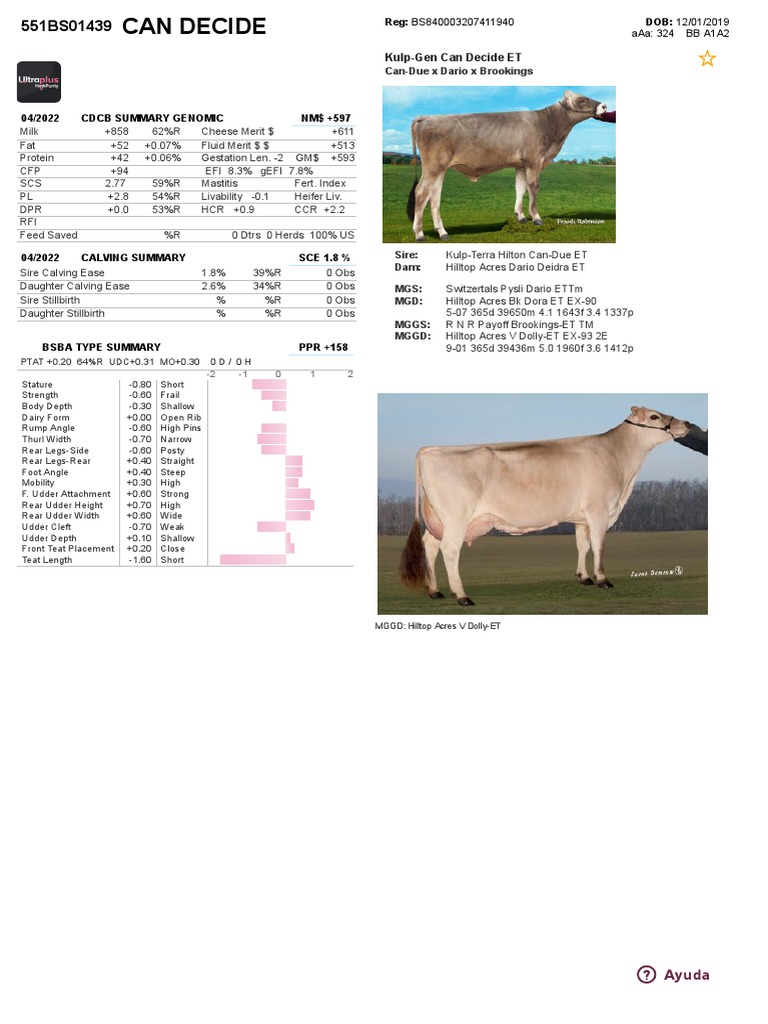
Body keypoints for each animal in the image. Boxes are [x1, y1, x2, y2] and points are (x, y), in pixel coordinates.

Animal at [400, 406, 692, 606]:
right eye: (654, 417)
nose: (687, 423)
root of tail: (433, 450)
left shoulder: (581, 518)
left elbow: (582, 545)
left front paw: (583, 577)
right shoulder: (598, 511)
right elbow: (599, 546)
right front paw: (602, 580)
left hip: (438, 520)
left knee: (430, 547)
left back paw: (435, 591)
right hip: (457, 517)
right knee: (449, 550)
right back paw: (461, 596)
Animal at [406, 90, 608, 241]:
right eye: (583, 100)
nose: (604, 106)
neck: (547, 125)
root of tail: (427, 117)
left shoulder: (520, 165)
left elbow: (520, 188)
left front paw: (521, 217)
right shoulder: (533, 161)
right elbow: (533, 187)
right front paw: (536, 219)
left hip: (440, 169)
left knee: (434, 197)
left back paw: (441, 232)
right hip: (432, 167)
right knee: (421, 193)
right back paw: (420, 234)